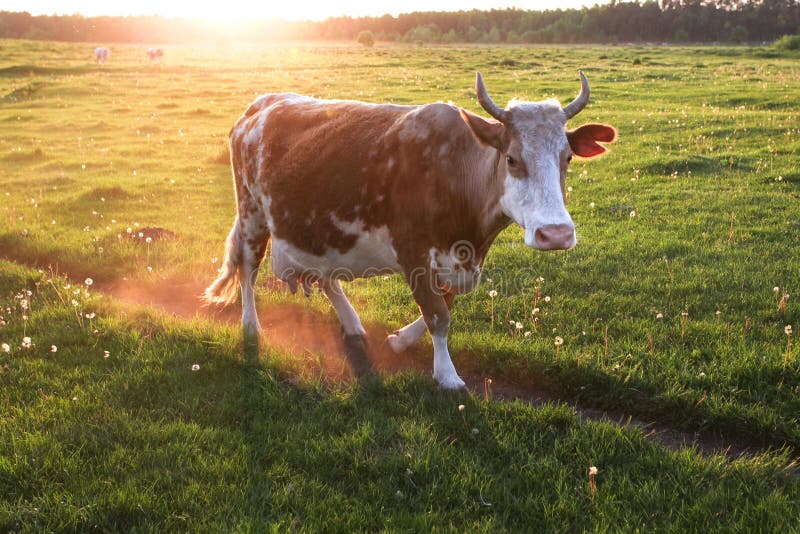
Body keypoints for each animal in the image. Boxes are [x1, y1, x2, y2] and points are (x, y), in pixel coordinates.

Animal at [205, 71, 617, 389]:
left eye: (567, 157)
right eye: (513, 159)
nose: (556, 234)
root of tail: (260, 105)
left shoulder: (459, 260)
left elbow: (446, 304)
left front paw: (402, 341)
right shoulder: (412, 249)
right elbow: (437, 313)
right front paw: (446, 375)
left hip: (320, 229)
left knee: (326, 277)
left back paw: (352, 324)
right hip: (252, 214)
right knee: (248, 269)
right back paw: (251, 326)